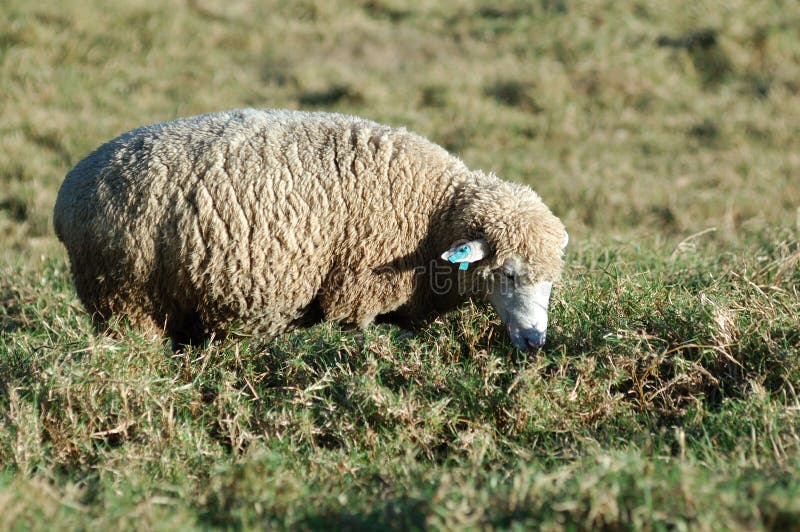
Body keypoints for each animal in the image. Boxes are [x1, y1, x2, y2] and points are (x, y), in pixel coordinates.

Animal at [53, 109, 568, 351]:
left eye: (550, 281)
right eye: (508, 274)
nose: (535, 342)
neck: (433, 211)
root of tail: (69, 192)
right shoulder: (357, 291)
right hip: (126, 298)